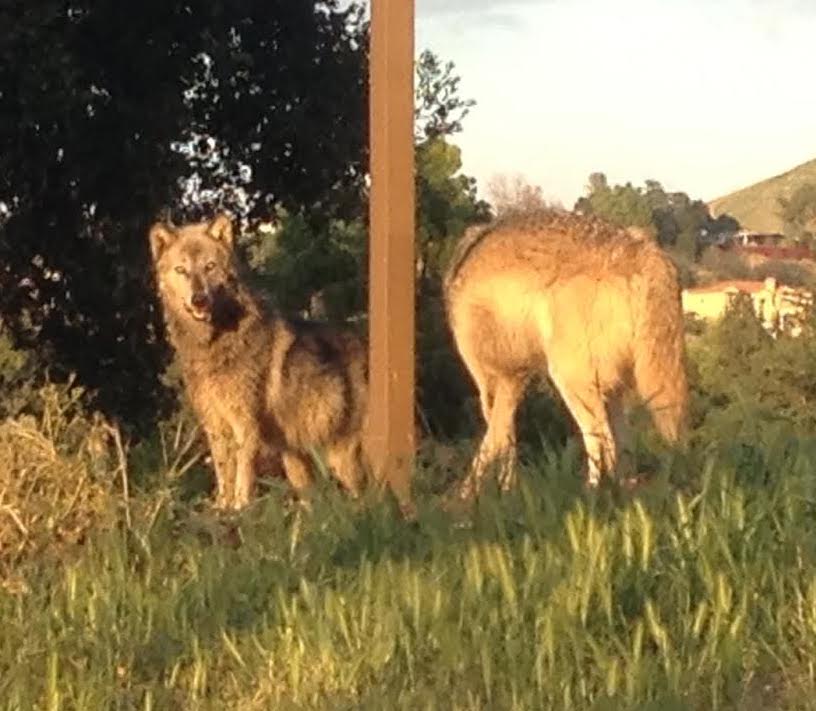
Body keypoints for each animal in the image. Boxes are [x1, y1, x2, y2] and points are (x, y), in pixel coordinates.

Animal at [149, 213, 369, 510]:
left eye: (209, 267)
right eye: (181, 270)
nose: (199, 300)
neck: (215, 343)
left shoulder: (245, 425)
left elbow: (242, 480)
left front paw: (239, 509)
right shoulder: (216, 427)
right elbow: (224, 478)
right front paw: (223, 508)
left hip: (342, 460)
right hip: (297, 464)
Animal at [444, 209, 688, 498]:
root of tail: (645, 250)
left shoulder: (500, 378)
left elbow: (493, 440)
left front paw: (473, 496)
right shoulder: (513, 380)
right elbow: (504, 440)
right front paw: (507, 491)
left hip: (569, 379)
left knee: (600, 438)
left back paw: (591, 492)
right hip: (612, 388)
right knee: (622, 444)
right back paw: (623, 490)